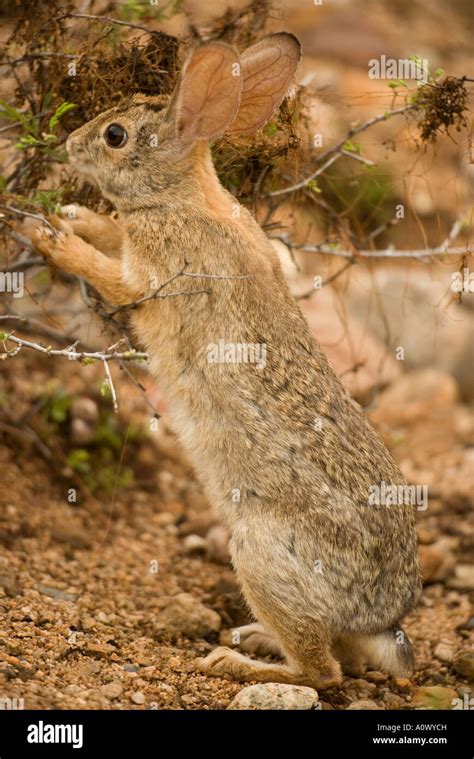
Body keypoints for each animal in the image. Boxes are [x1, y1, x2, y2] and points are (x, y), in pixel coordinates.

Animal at [25, 32, 421, 689]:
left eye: (116, 136)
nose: (69, 144)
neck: (182, 198)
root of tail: (382, 620)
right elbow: (111, 234)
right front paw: (75, 217)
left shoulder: (154, 277)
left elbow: (109, 272)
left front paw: (53, 237)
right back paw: (253, 638)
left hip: (262, 556)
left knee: (324, 674)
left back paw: (236, 660)